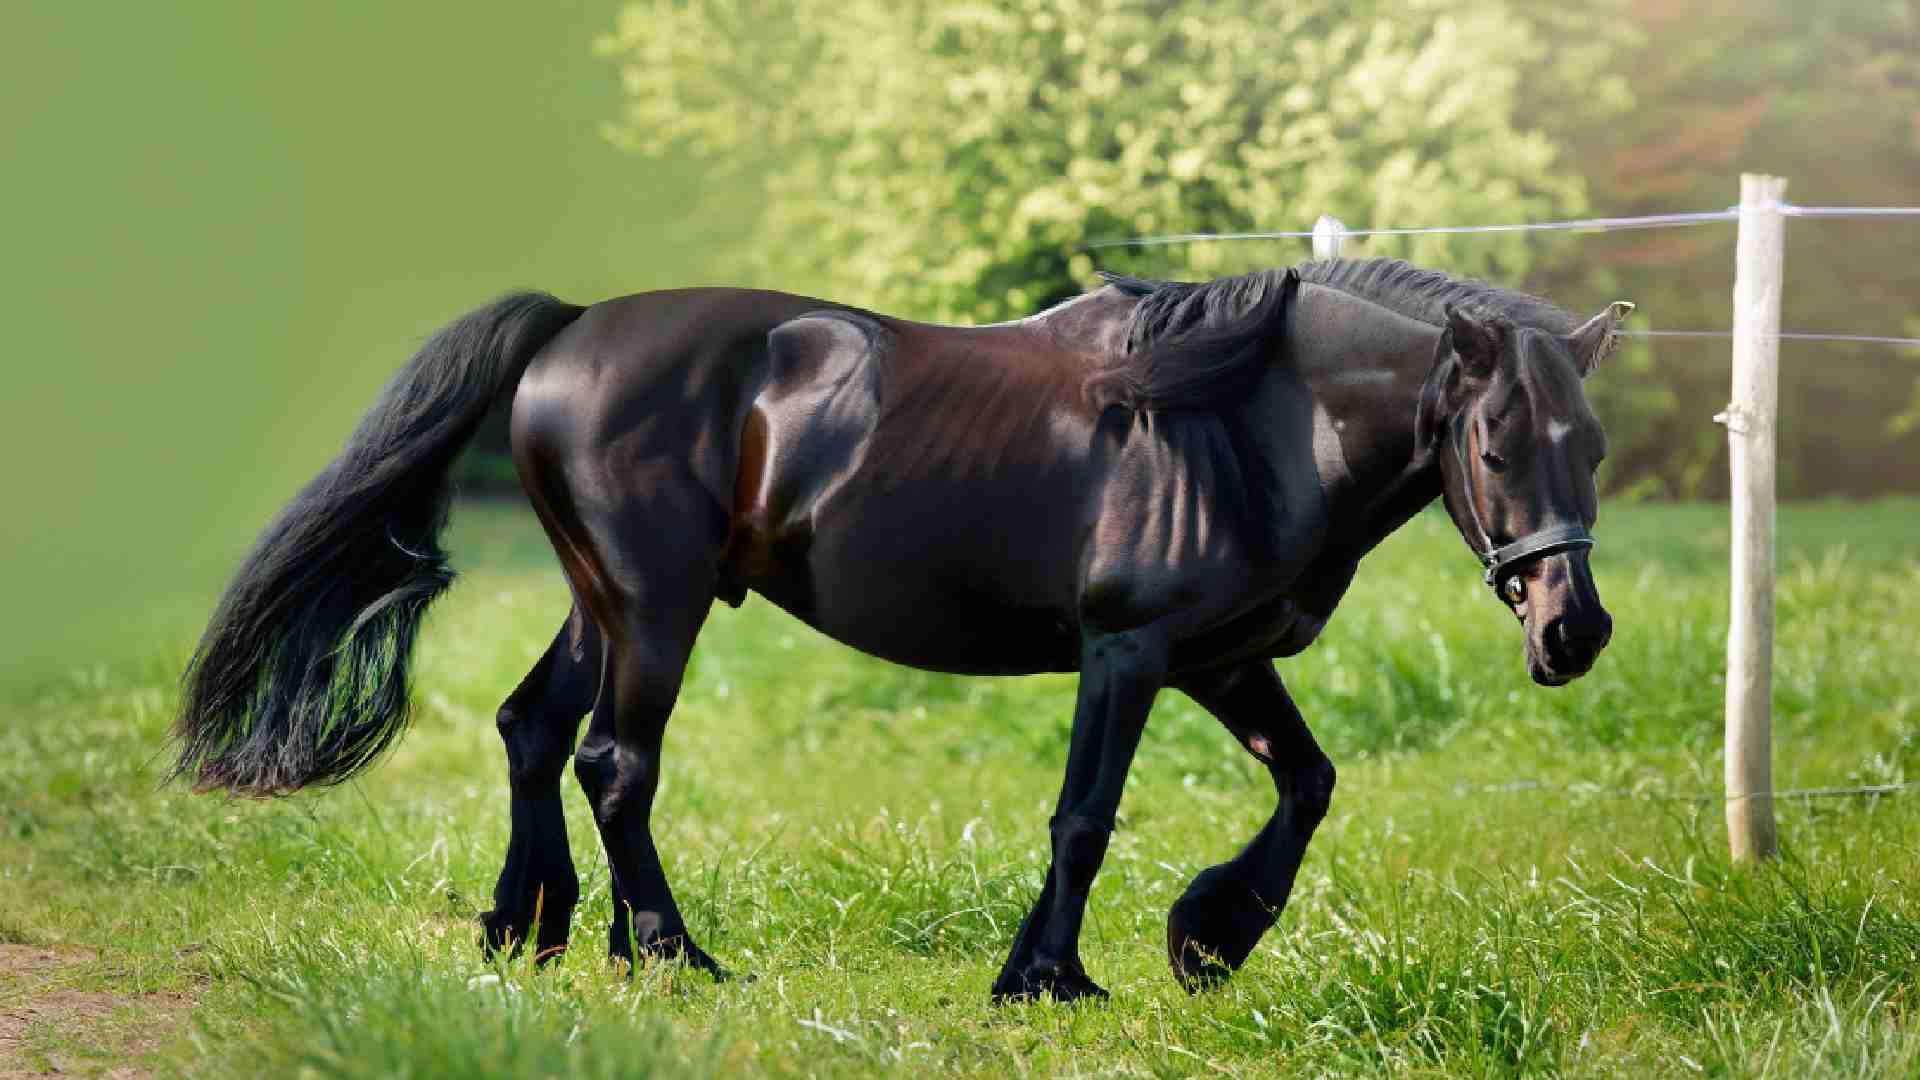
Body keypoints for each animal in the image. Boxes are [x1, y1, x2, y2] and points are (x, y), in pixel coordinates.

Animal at [172, 256, 1628, 1002]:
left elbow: (1311, 785)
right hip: (656, 605)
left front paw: (1209, 936)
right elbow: (1084, 816)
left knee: (535, 731)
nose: (1575, 633)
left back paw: (534, 928)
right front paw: (1052, 978)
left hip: (602, 602)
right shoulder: (1131, 652)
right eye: (1495, 445)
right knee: (615, 763)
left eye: (1595, 445)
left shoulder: (1221, 659)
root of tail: (570, 328)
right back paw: (672, 954)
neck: (1238, 420)